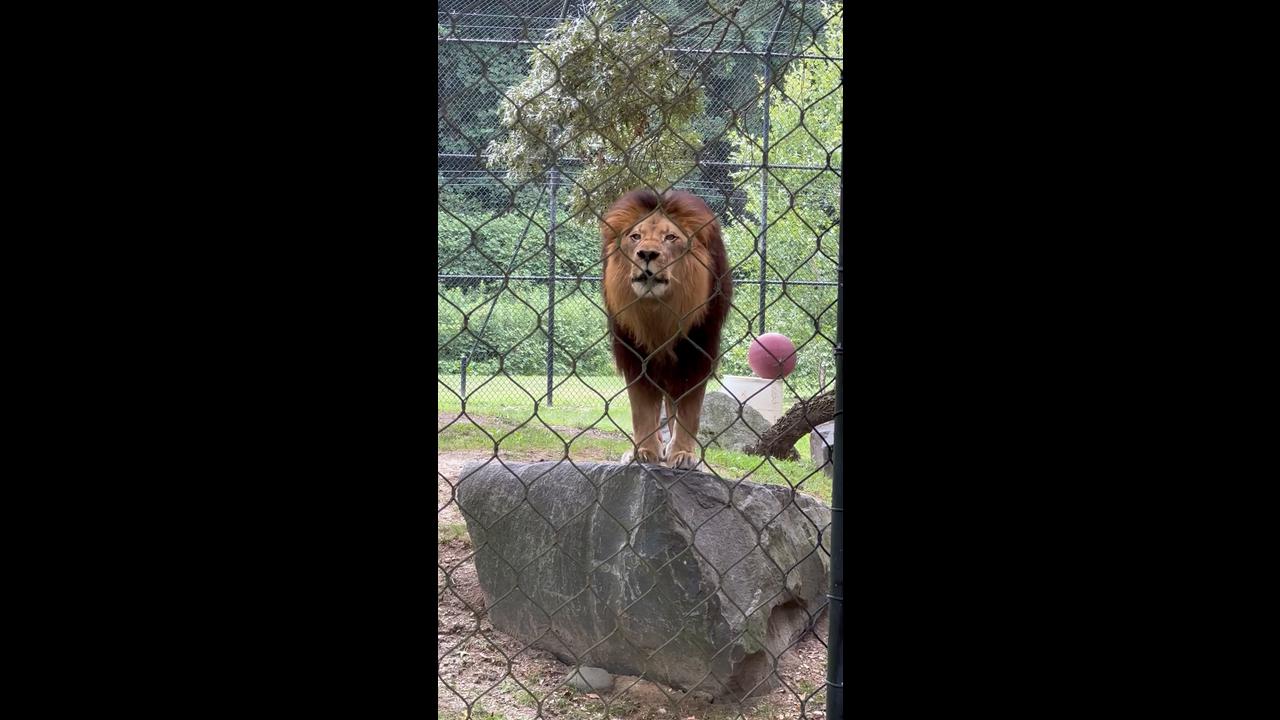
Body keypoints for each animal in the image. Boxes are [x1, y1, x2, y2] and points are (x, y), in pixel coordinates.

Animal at [600, 189, 733, 469]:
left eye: (670, 237)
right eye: (635, 237)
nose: (647, 254)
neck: (657, 313)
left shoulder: (696, 356)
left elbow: (689, 413)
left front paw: (683, 453)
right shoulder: (634, 356)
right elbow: (641, 412)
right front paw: (643, 451)